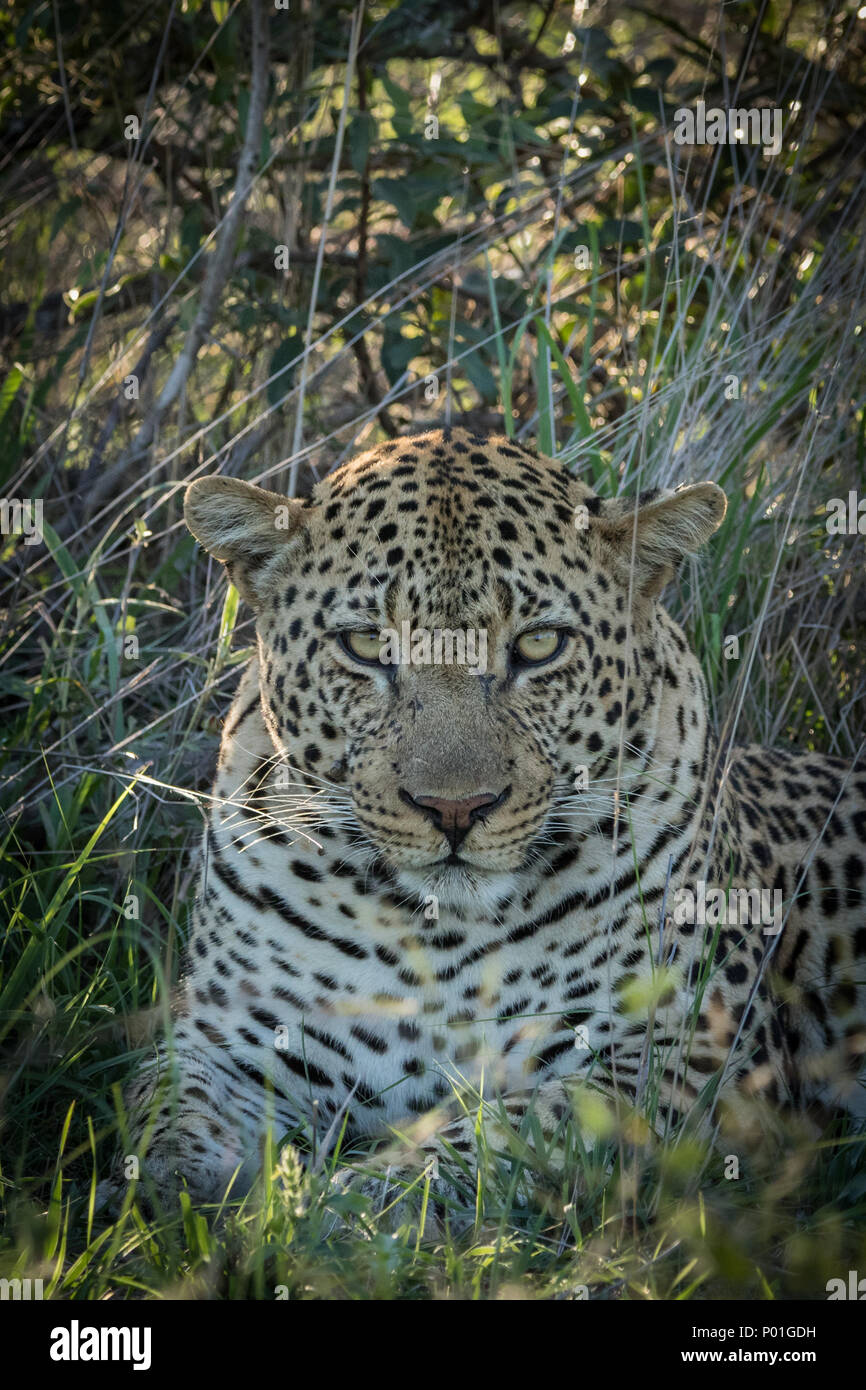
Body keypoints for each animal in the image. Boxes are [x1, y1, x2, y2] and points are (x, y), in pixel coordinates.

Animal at [108, 426, 866, 1218]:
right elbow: (168, 1115)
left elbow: (514, 1131)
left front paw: (354, 1208)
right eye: (366, 645)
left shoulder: (689, 1052)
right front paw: (175, 1208)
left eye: (538, 645)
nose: (455, 809)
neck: (434, 932)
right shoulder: (228, 1035)